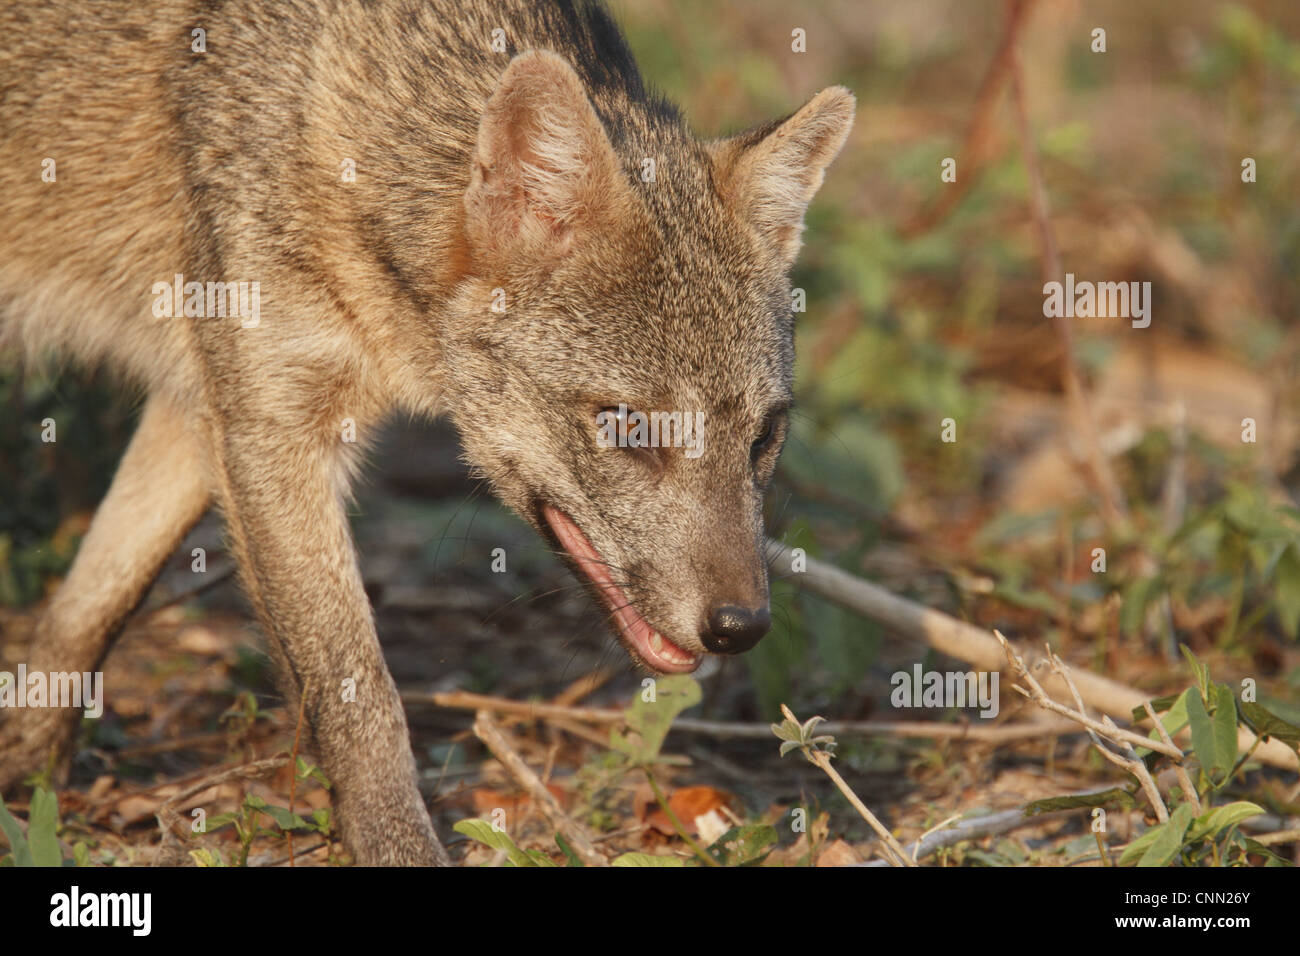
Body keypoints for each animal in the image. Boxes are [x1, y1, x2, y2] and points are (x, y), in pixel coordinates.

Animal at [0, 0, 854, 865]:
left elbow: (87, 610)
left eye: (765, 437)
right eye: (629, 426)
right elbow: (358, 694)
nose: (741, 628)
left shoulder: (204, 406)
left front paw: (27, 777)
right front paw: (398, 846)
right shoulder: (272, 426)